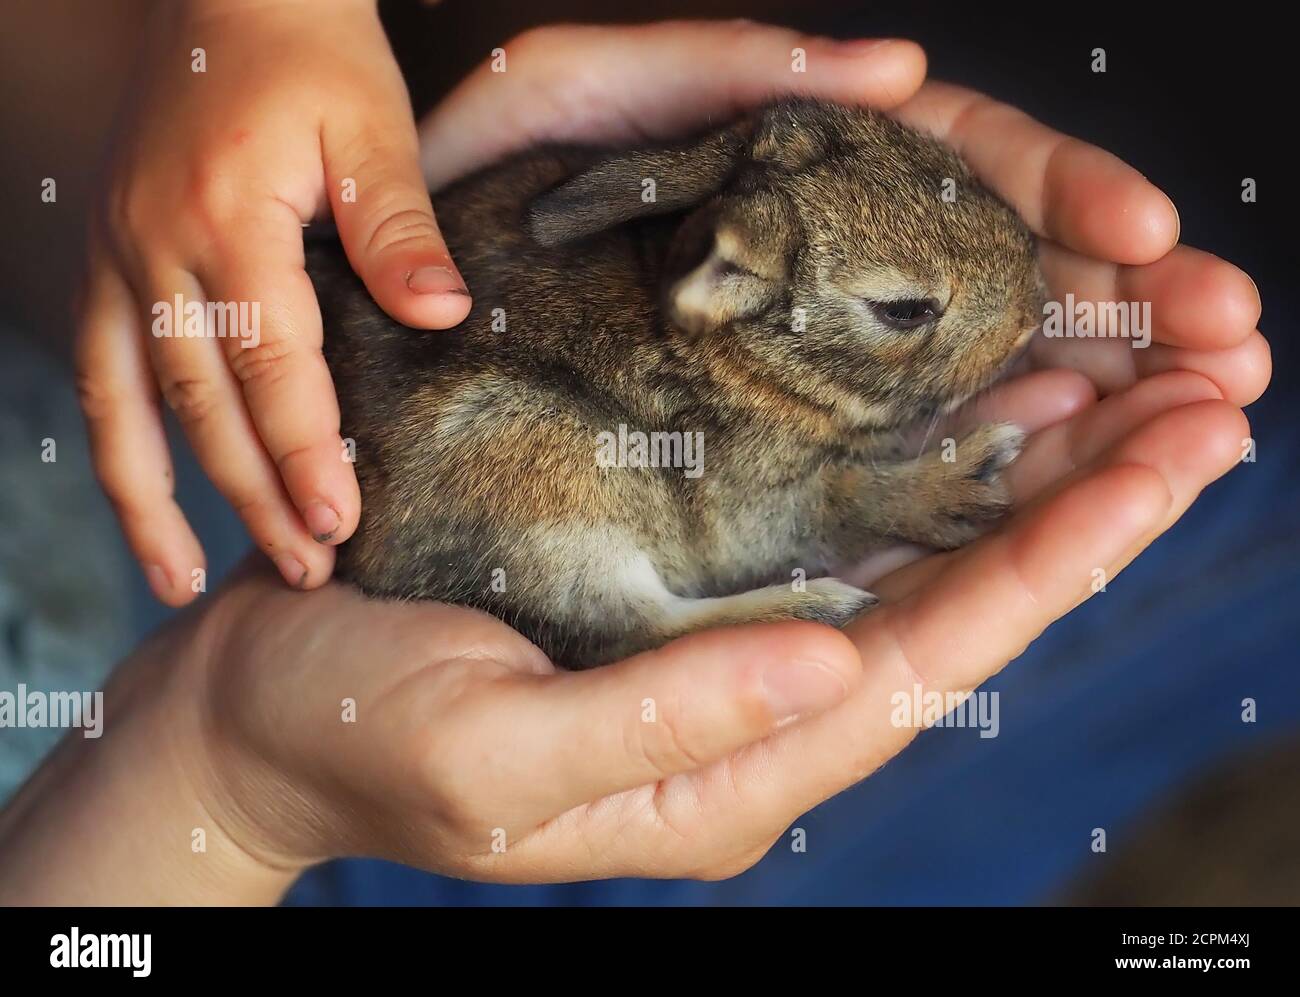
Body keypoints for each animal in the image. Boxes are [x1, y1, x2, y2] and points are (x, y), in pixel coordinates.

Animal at [311, 99, 1045, 670]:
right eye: (905, 310)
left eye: (952, 164)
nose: (1032, 311)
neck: (754, 363)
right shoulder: (752, 507)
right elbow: (841, 502)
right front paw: (956, 487)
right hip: (550, 476)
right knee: (626, 629)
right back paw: (821, 606)